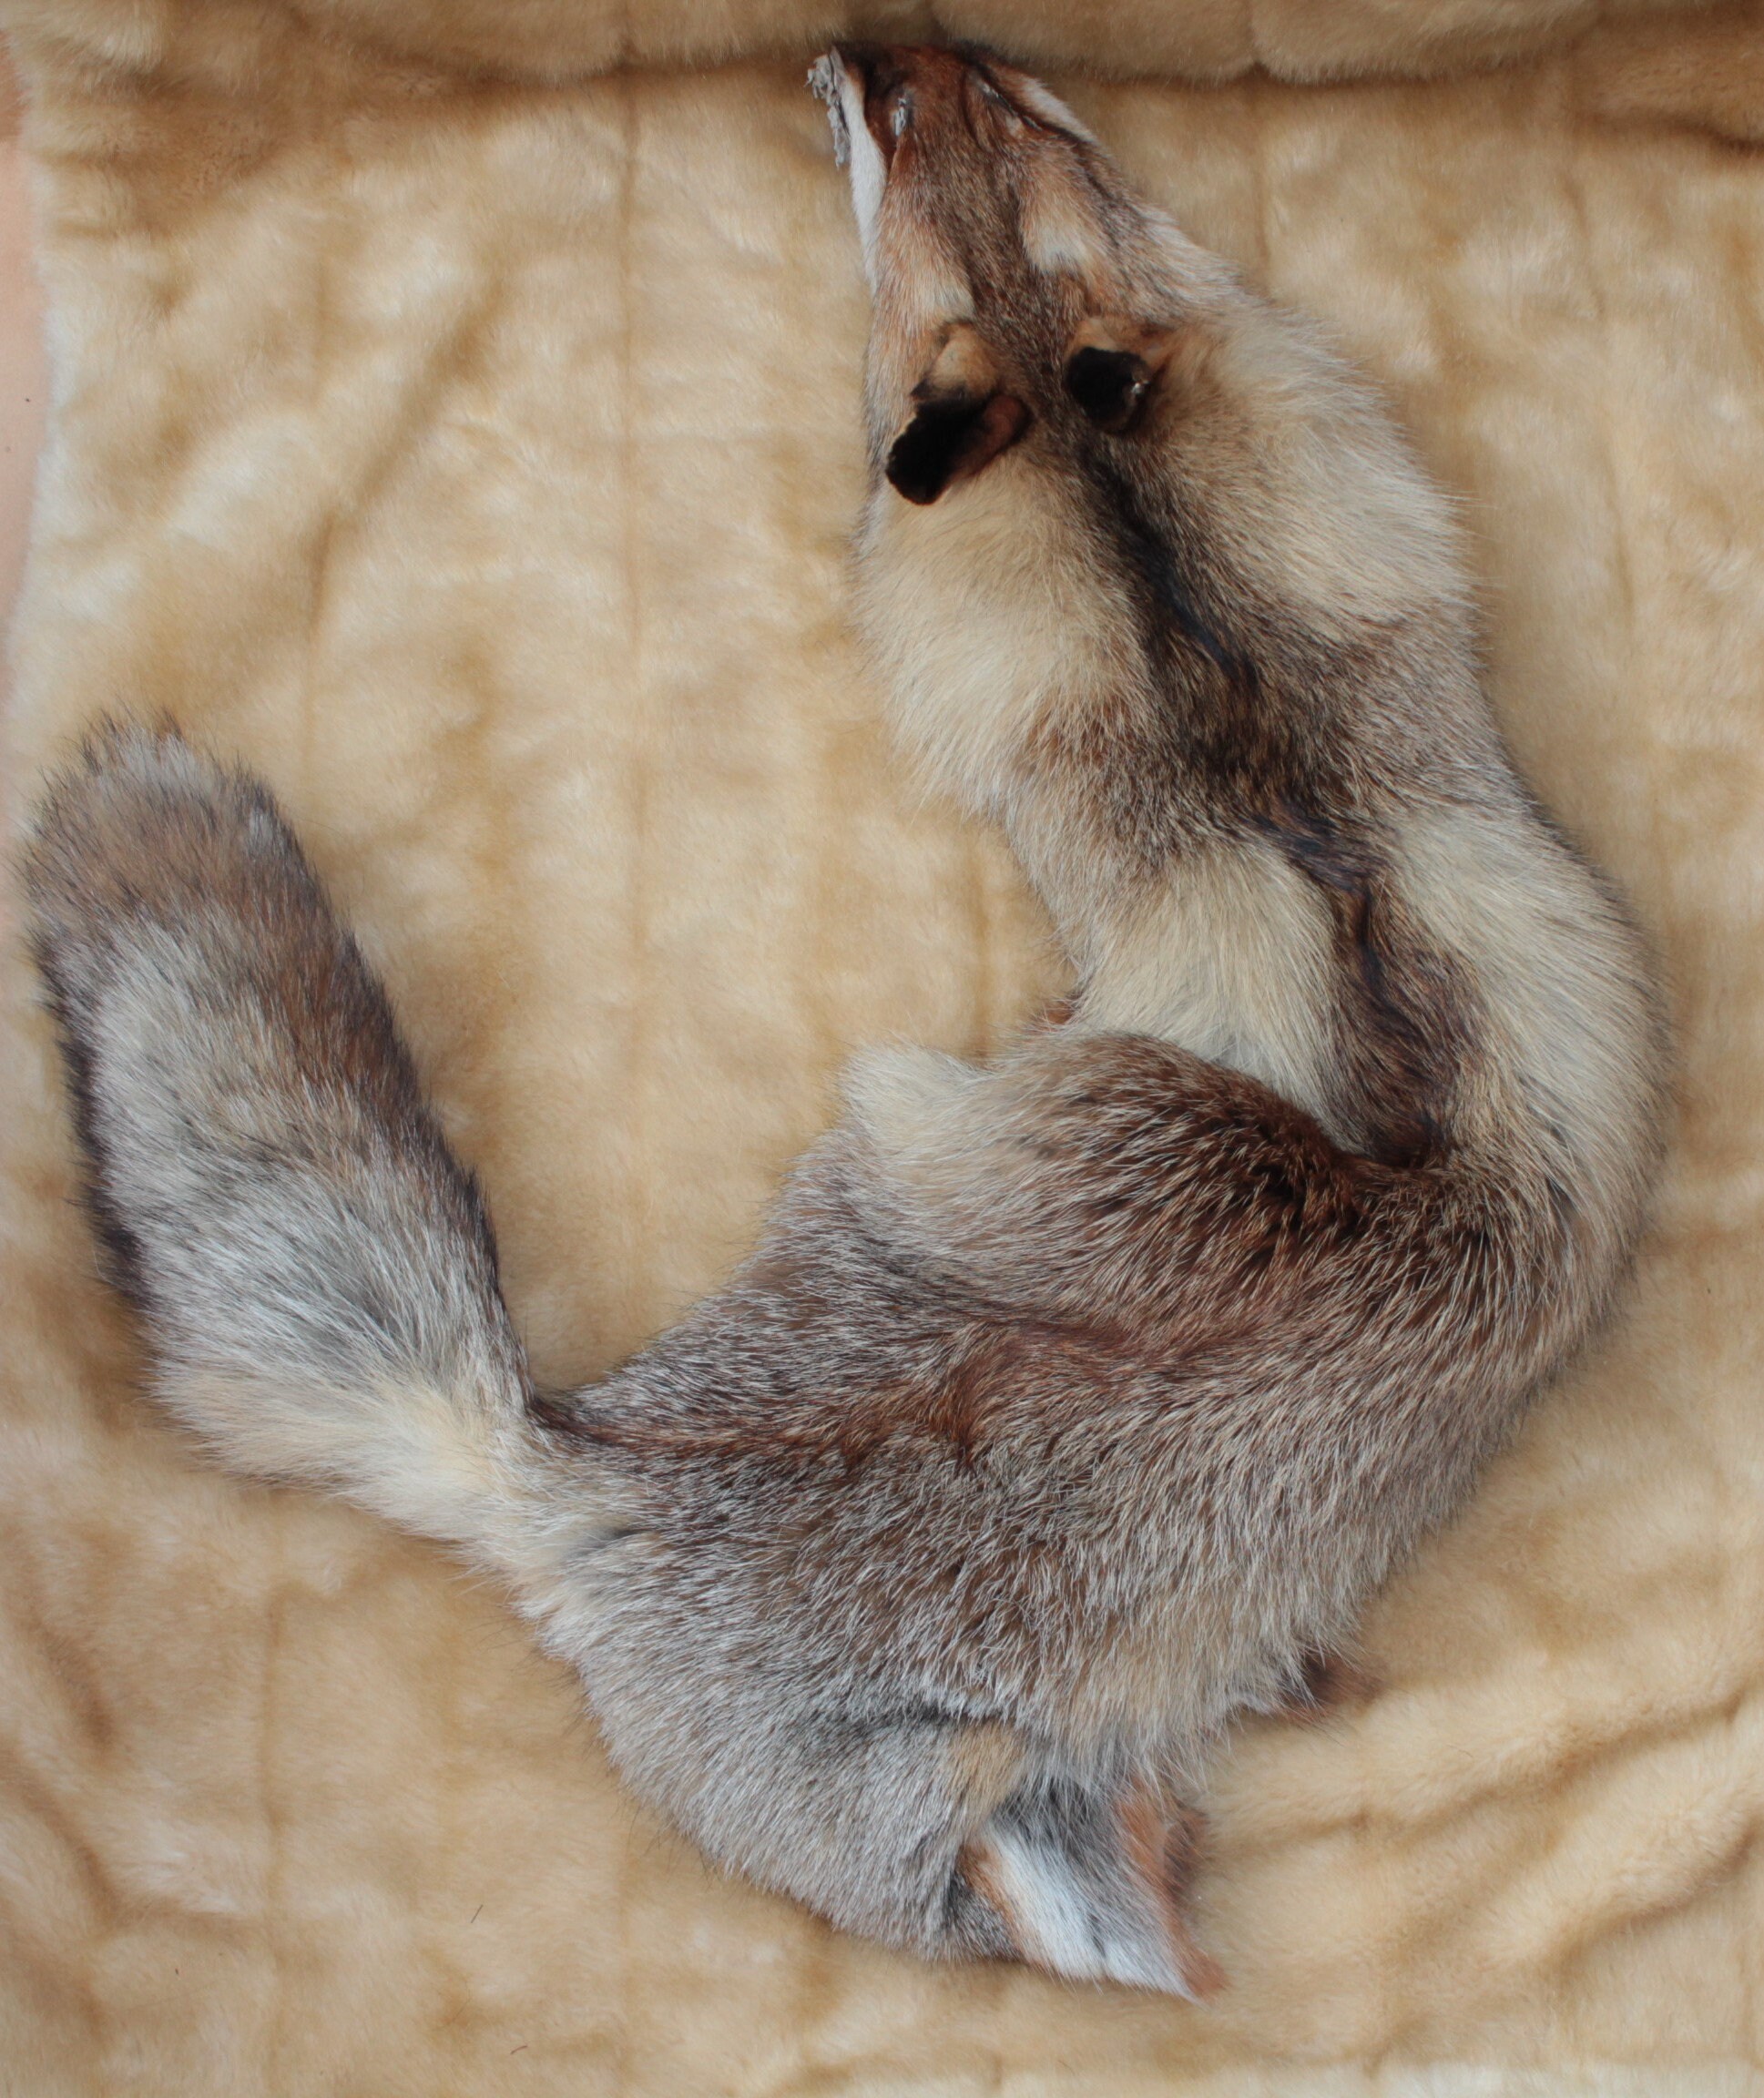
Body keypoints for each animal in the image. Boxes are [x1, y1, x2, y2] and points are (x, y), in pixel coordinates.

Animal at [22, 43, 1663, 1997]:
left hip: (964, 1858)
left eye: (1009, 120)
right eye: (944, 130)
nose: (881, 47)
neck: (1259, 751)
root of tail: (578, 1473)